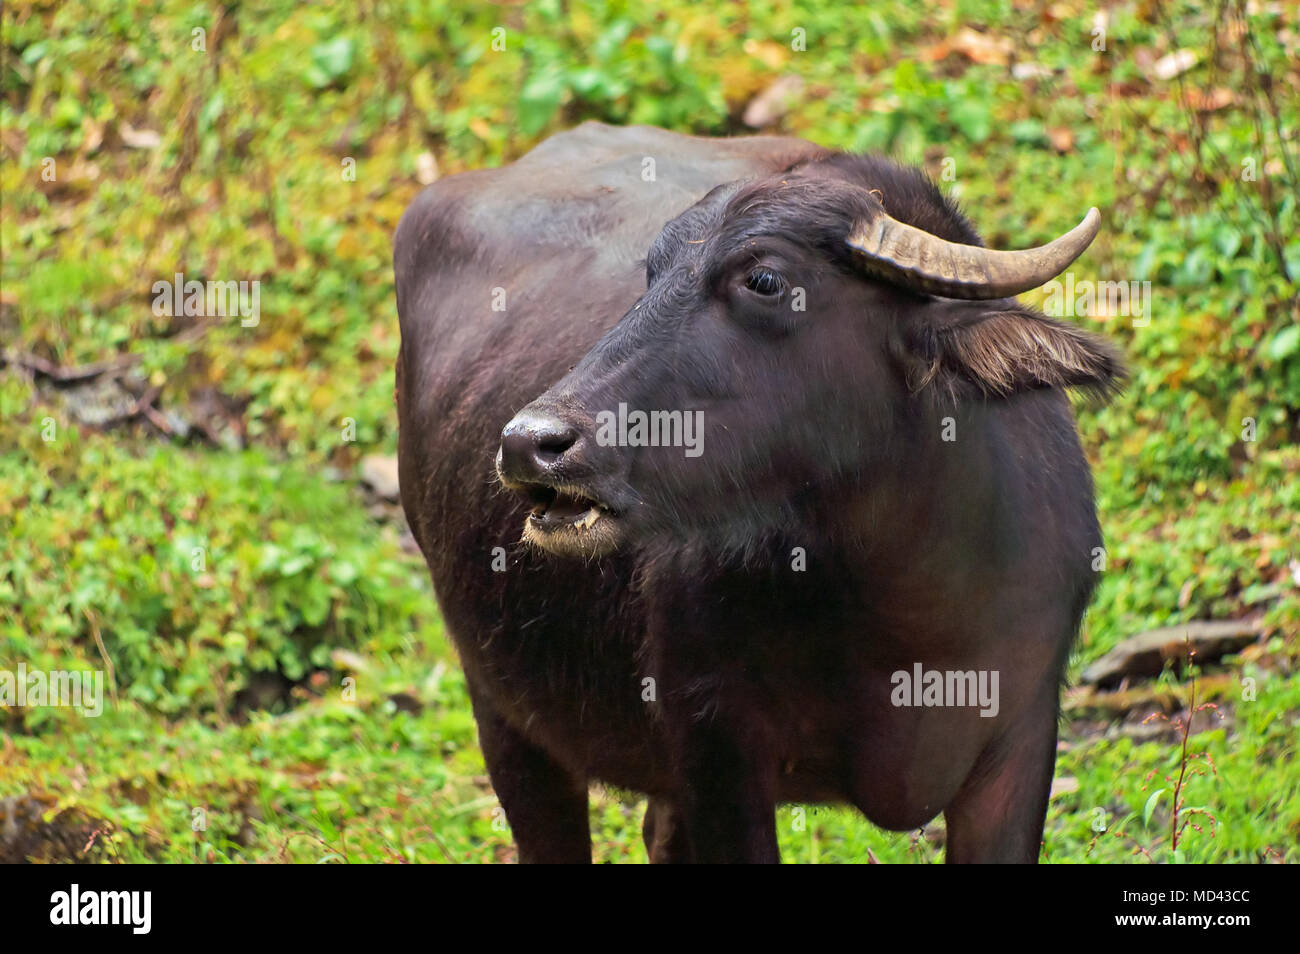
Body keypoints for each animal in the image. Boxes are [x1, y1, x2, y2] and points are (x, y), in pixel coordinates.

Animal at [393, 122, 1123, 863]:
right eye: (652, 273)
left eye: (765, 279)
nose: (531, 443)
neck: (913, 613)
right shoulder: (718, 751)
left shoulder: (1021, 743)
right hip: (504, 710)